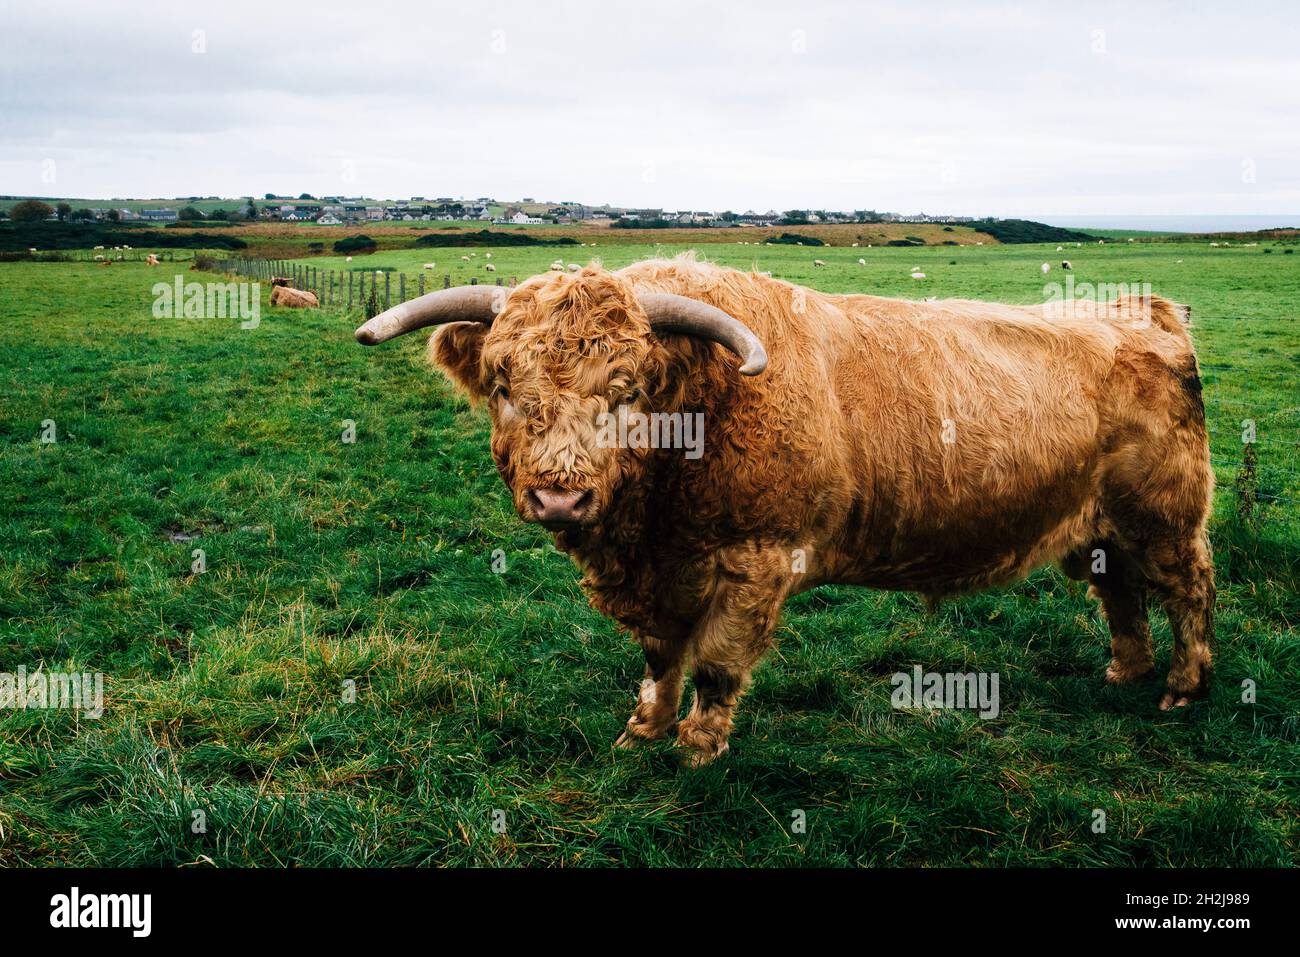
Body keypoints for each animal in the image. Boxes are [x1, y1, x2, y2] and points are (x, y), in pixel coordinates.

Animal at [355, 253, 1215, 765]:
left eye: (626, 391)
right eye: (504, 384)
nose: (557, 492)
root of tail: (1140, 309)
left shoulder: (756, 559)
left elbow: (717, 662)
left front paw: (698, 748)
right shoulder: (664, 576)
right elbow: (661, 657)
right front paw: (643, 731)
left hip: (1166, 515)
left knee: (1187, 589)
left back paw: (1183, 685)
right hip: (1101, 528)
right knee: (1120, 592)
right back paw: (1125, 669)